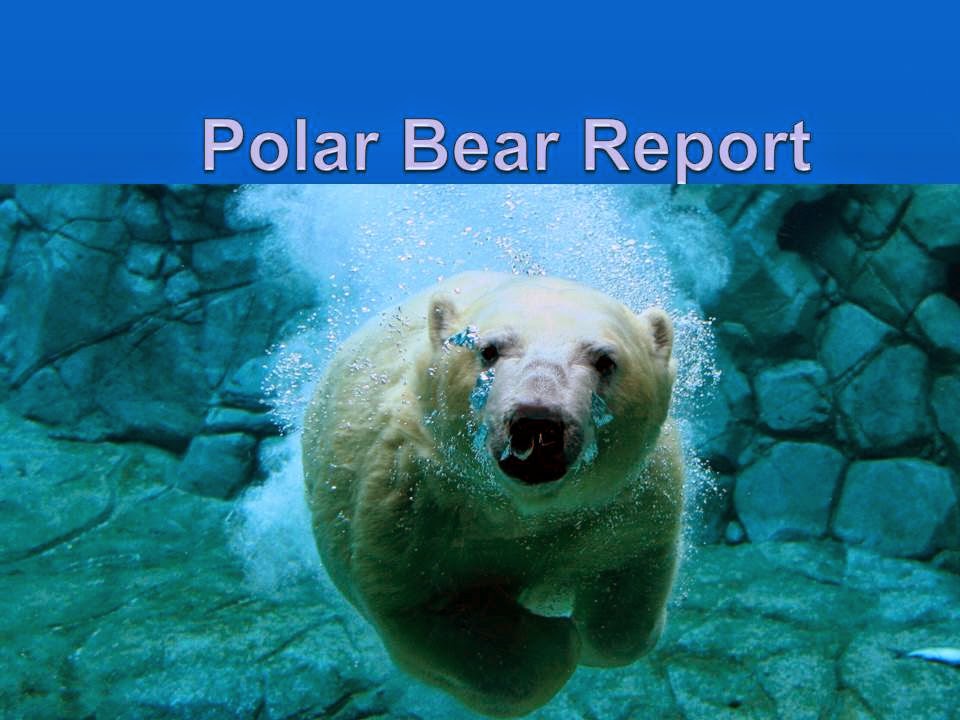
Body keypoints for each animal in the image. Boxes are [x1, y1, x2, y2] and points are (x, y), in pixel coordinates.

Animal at [302, 272, 684, 717]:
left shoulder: (626, 500)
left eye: (605, 360)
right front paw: (555, 640)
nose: (537, 423)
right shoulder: (410, 502)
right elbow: (429, 611)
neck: (519, 509)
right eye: (488, 350)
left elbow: (630, 575)